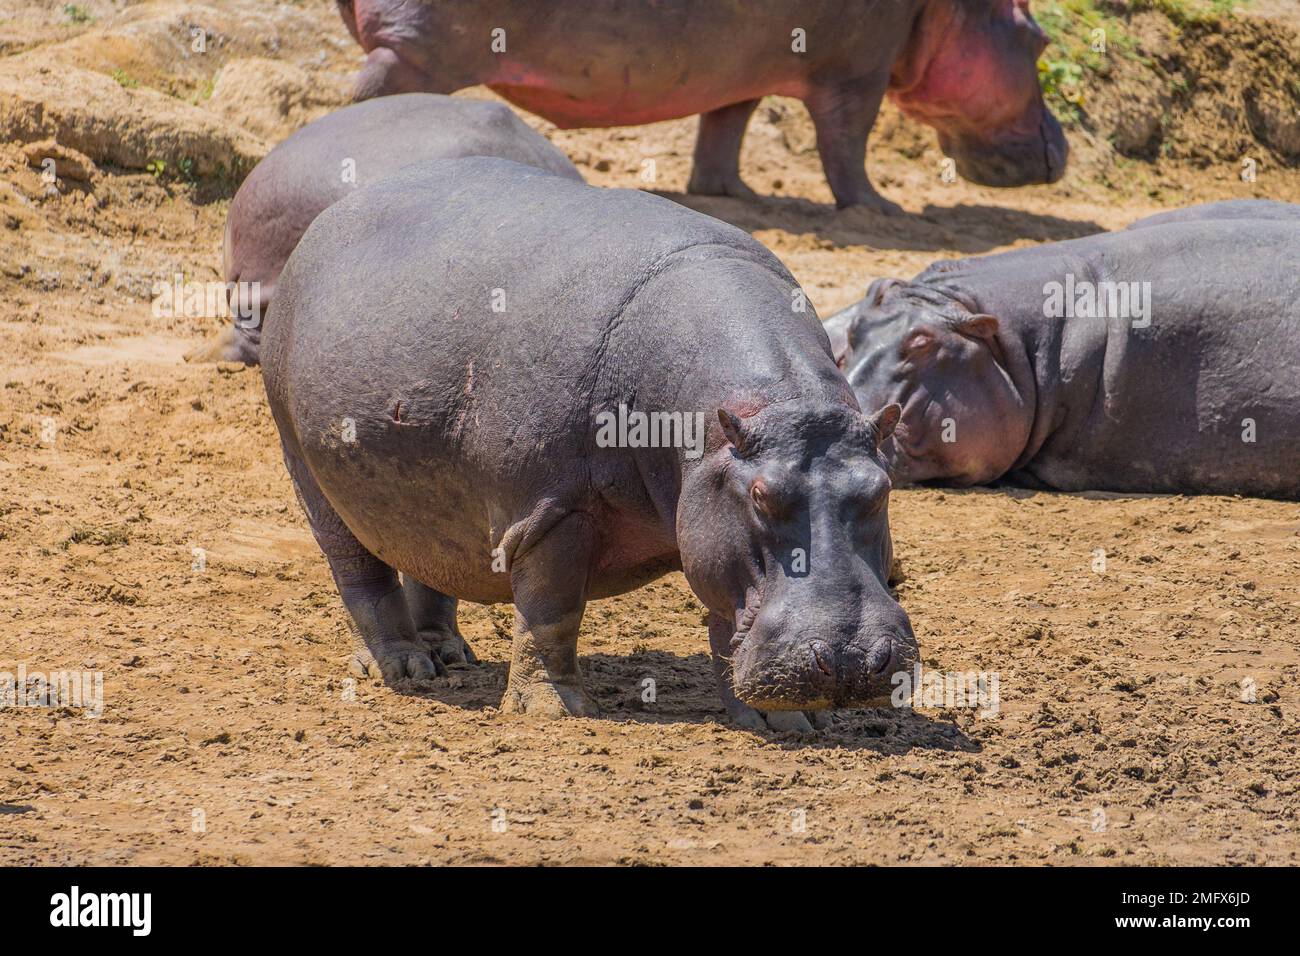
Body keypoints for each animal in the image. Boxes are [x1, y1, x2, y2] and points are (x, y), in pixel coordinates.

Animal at [261, 156, 918, 730]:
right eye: (761, 496)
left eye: (882, 488)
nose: (851, 659)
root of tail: (326, 221)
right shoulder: (551, 508)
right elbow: (550, 610)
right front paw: (556, 711)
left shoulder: (705, 514)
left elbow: (721, 616)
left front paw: (786, 720)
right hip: (305, 465)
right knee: (358, 571)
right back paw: (403, 668)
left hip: (428, 478)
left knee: (430, 552)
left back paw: (450, 655)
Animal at [336, 0, 1068, 213]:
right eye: (1040, 38)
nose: (1060, 147)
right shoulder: (857, 68)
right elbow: (848, 142)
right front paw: (883, 210)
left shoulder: (744, 70)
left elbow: (727, 125)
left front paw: (732, 193)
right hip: (418, 53)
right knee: (366, 96)